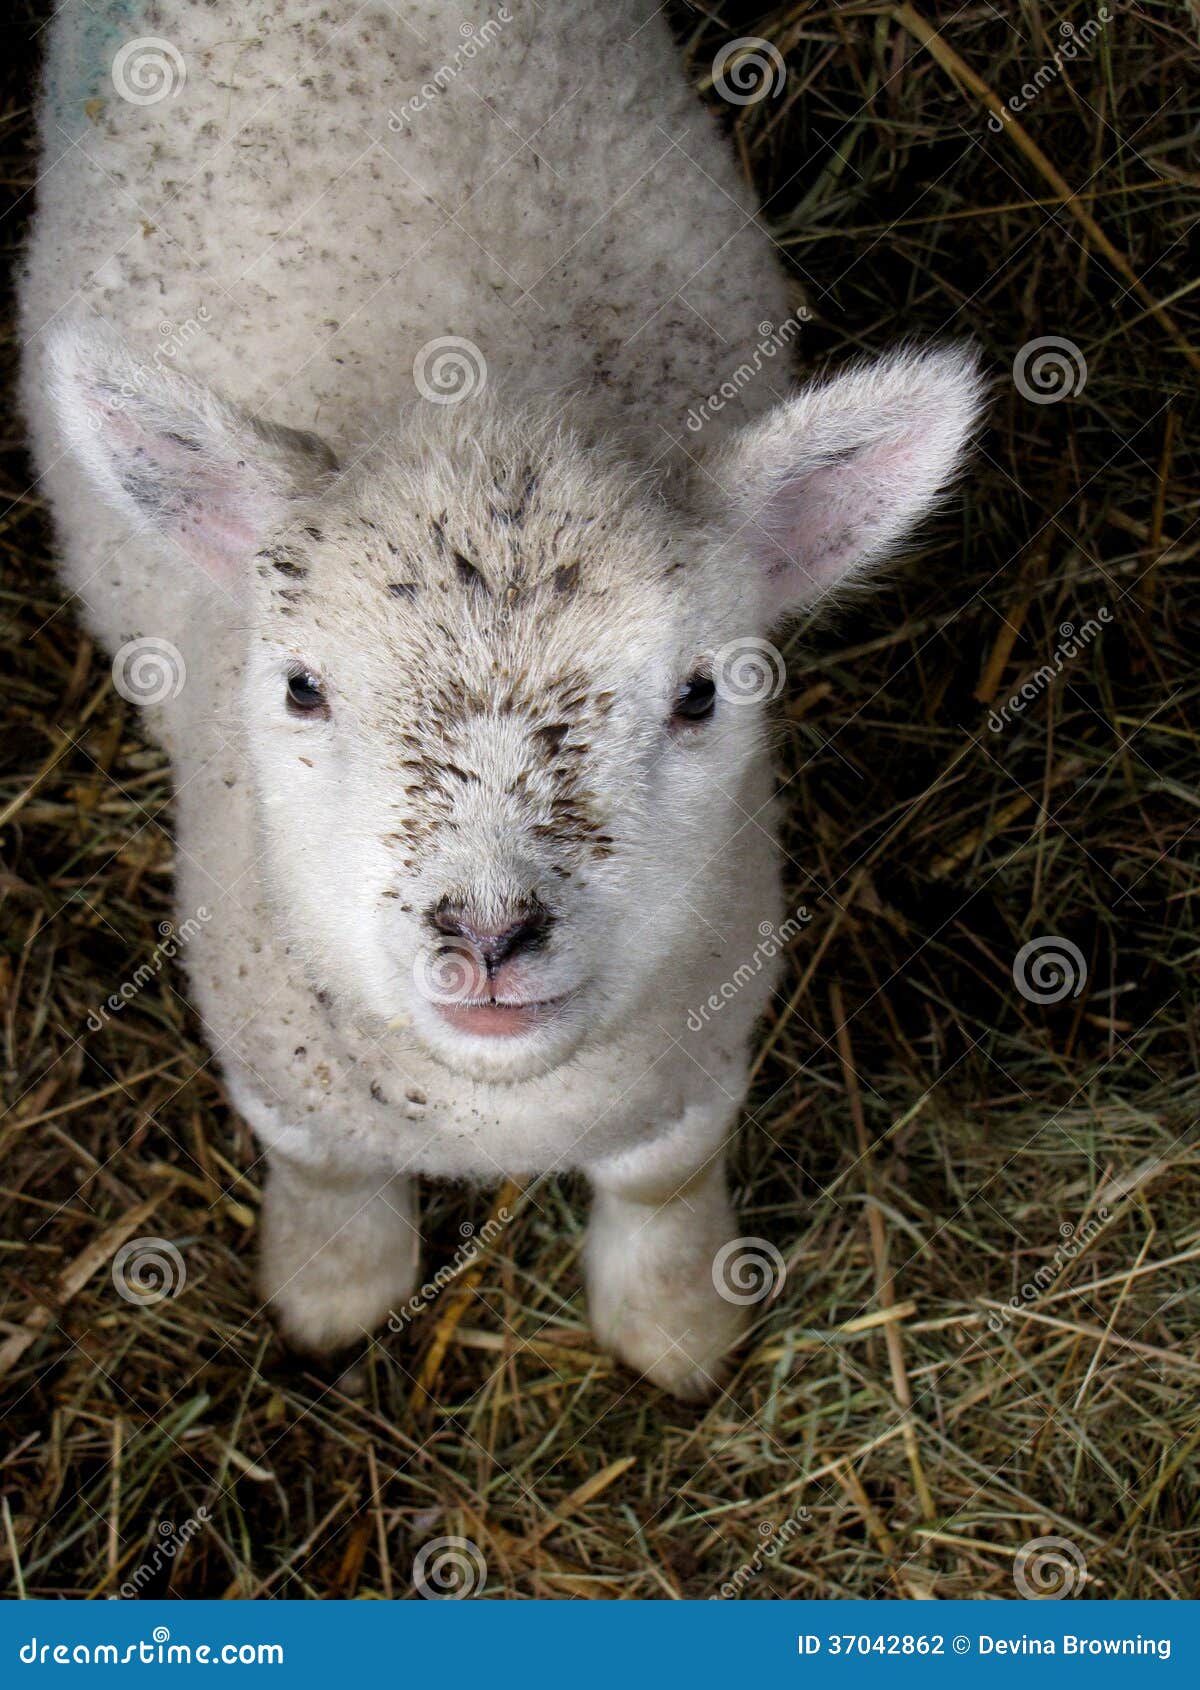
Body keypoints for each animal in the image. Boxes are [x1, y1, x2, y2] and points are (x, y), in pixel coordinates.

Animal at [21, 0, 983, 1399]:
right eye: (302, 687)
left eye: (702, 692)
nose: (486, 934)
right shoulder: (274, 1047)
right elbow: (322, 1167)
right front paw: (332, 1290)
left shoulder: (693, 1050)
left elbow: (666, 1179)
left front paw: (677, 1325)